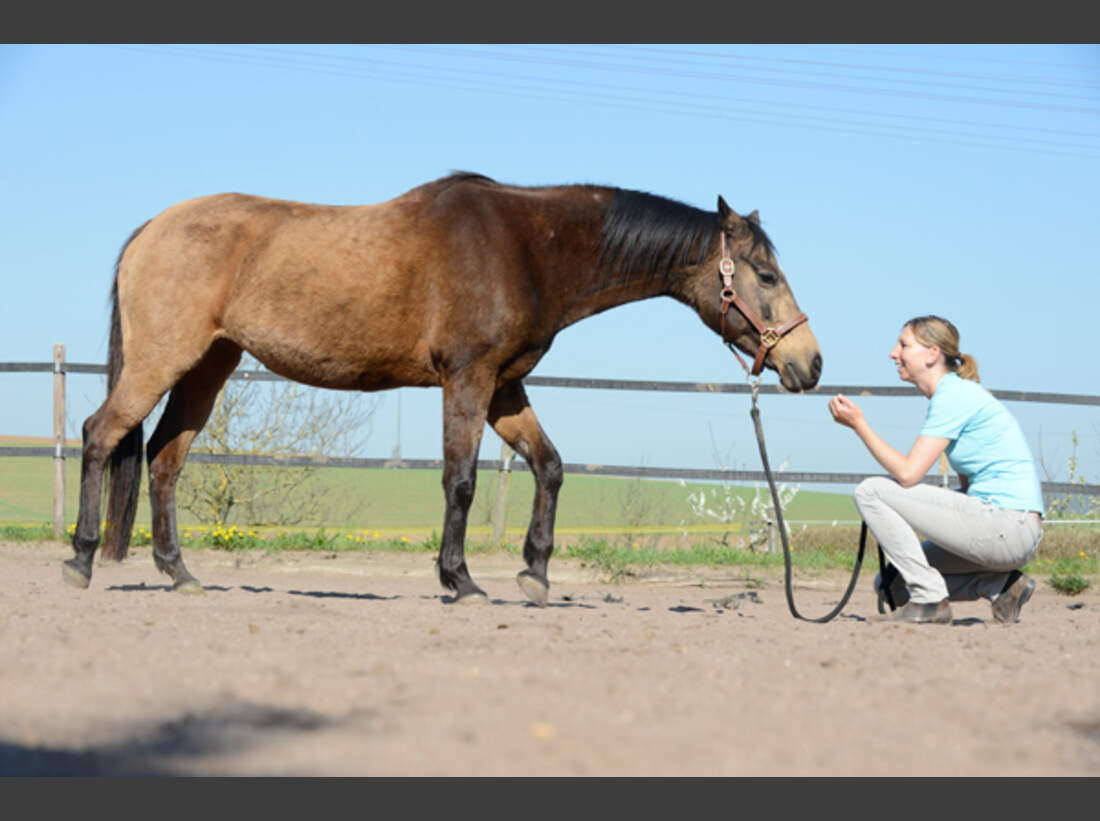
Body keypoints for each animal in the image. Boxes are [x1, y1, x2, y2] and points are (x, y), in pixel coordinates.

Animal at [63, 172, 822, 606]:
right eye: (765, 273)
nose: (809, 364)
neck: (525, 245)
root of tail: (151, 230)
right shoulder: (467, 378)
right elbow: (460, 481)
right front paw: (460, 579)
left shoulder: (504, 387)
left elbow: (550, 466)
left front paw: (535, 574)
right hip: (164, 360)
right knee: (102, 435)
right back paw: (80, 559)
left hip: (208, 365)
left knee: (164, 458)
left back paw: (179, 573)